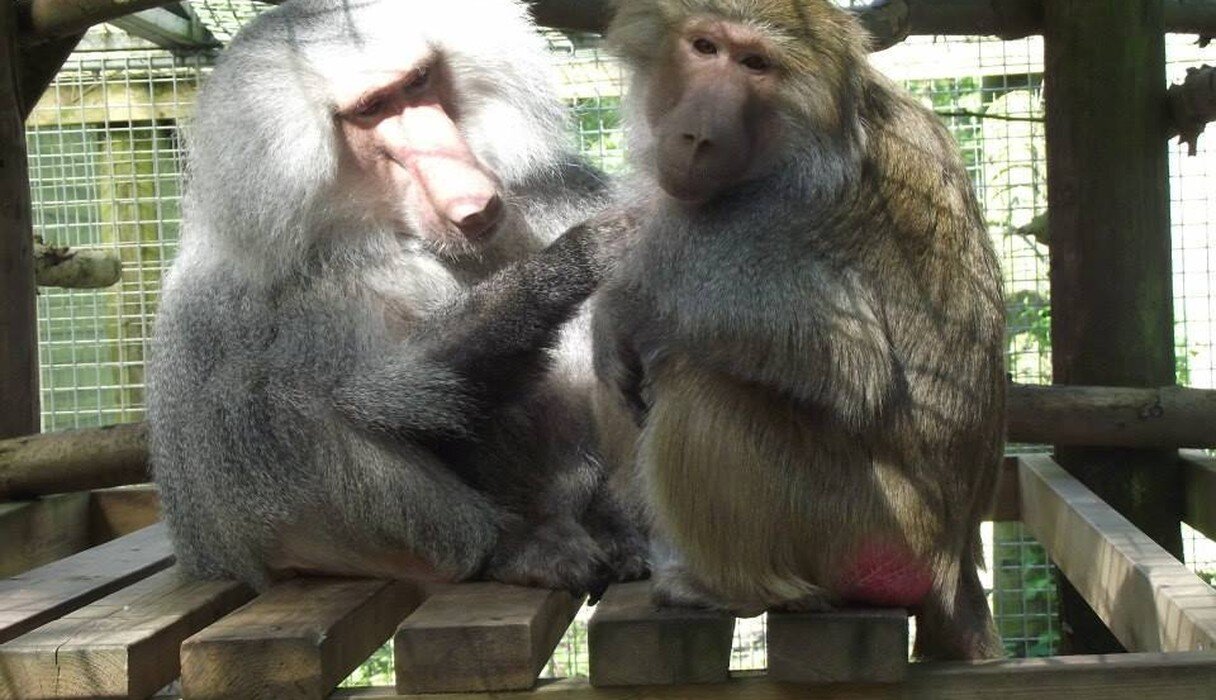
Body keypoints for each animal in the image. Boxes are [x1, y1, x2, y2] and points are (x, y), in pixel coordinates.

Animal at [146, 0, 647, 595]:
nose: (474, 200)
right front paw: (573, 260)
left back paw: (610, 525)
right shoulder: (322, 293)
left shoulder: (549, 194)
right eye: (371, 109)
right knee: (288, 407)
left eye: (418, 82)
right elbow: (383, 391)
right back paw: (512, 550)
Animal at [591, 0, 1006, 660]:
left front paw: (623, 307)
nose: (697, 136)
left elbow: (851, 363)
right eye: (705, 47)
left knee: (695, 385)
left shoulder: (771, 213)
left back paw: (734, 590)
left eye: (756, 64)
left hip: (861, 527)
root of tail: (953, 563)